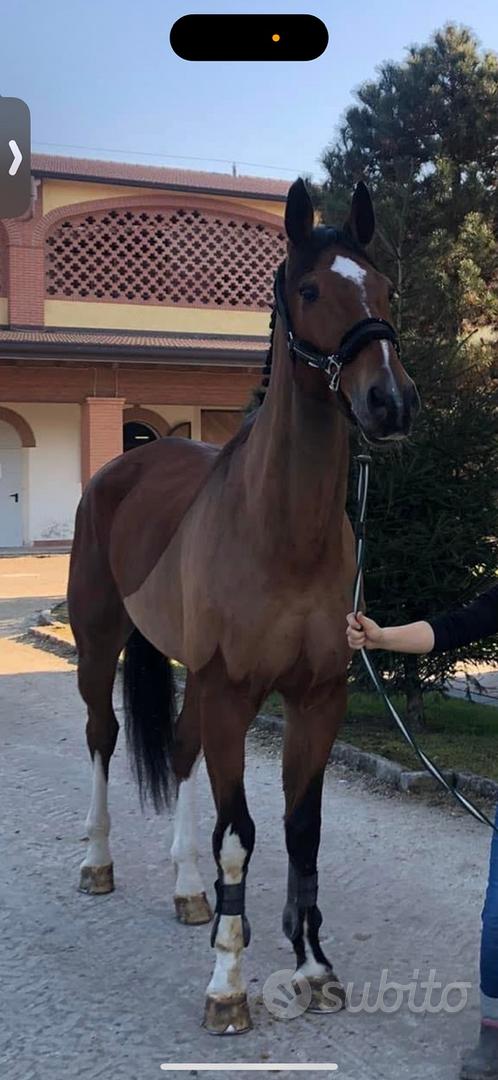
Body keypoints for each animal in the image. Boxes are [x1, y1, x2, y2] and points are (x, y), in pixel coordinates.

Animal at [68, 177, 420, 1035]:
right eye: (311, 289)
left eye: (385, 287)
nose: (390, 402)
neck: (281, 532)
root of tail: (127, 458)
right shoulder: (233, 691)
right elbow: (242, 833)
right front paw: (227, 983)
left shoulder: (317, 697)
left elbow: (301, 830)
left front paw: (313, 965)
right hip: (98, 644)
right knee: (102, 737)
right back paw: (98, 862)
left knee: (181, 750)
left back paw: (190, 891)